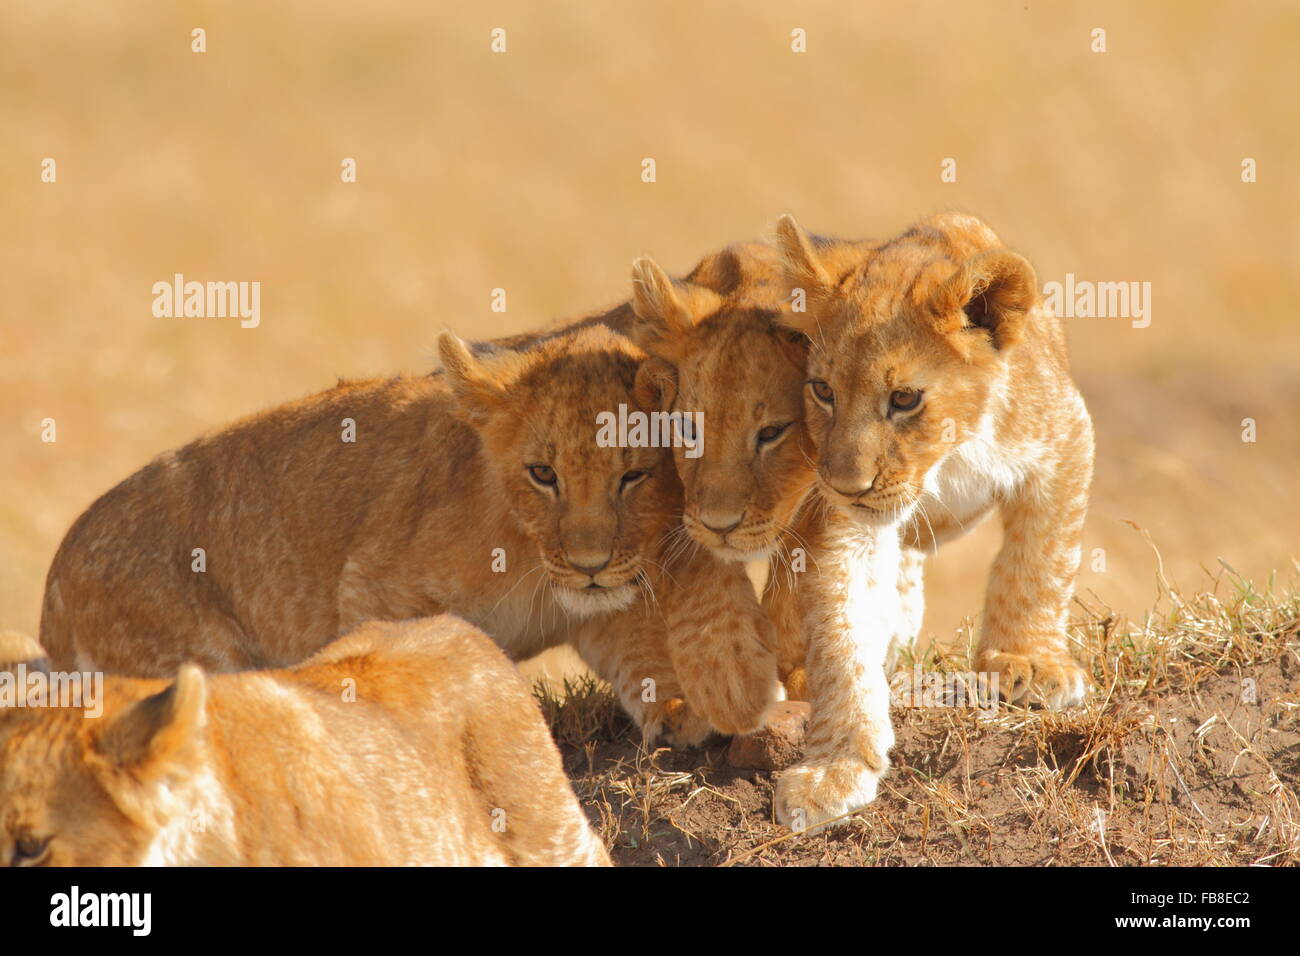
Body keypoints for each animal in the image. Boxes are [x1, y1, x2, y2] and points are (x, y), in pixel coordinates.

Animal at [40, 322, 777, 744]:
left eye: (634, 476)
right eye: (543, 474)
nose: (589, 563)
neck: (527, 551)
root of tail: (54, 578)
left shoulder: (605, 606)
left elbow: (647, 660)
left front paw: (686, 712)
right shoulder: (374, 584)